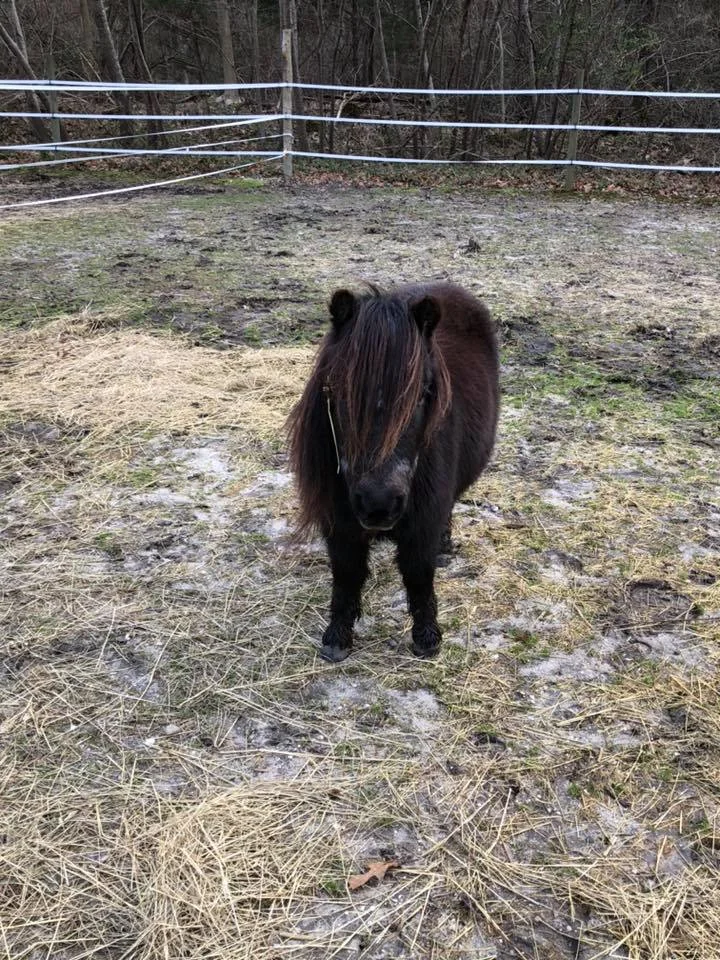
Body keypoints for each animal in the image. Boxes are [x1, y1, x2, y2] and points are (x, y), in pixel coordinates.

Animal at [287, 282, 499, 662]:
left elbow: (418, 575)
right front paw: (337, 637)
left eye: (424, 392)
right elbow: (347, 576)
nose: (378, 504)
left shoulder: (422, 523)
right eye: (337, 390)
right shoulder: (339, 525)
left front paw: (427, 637)